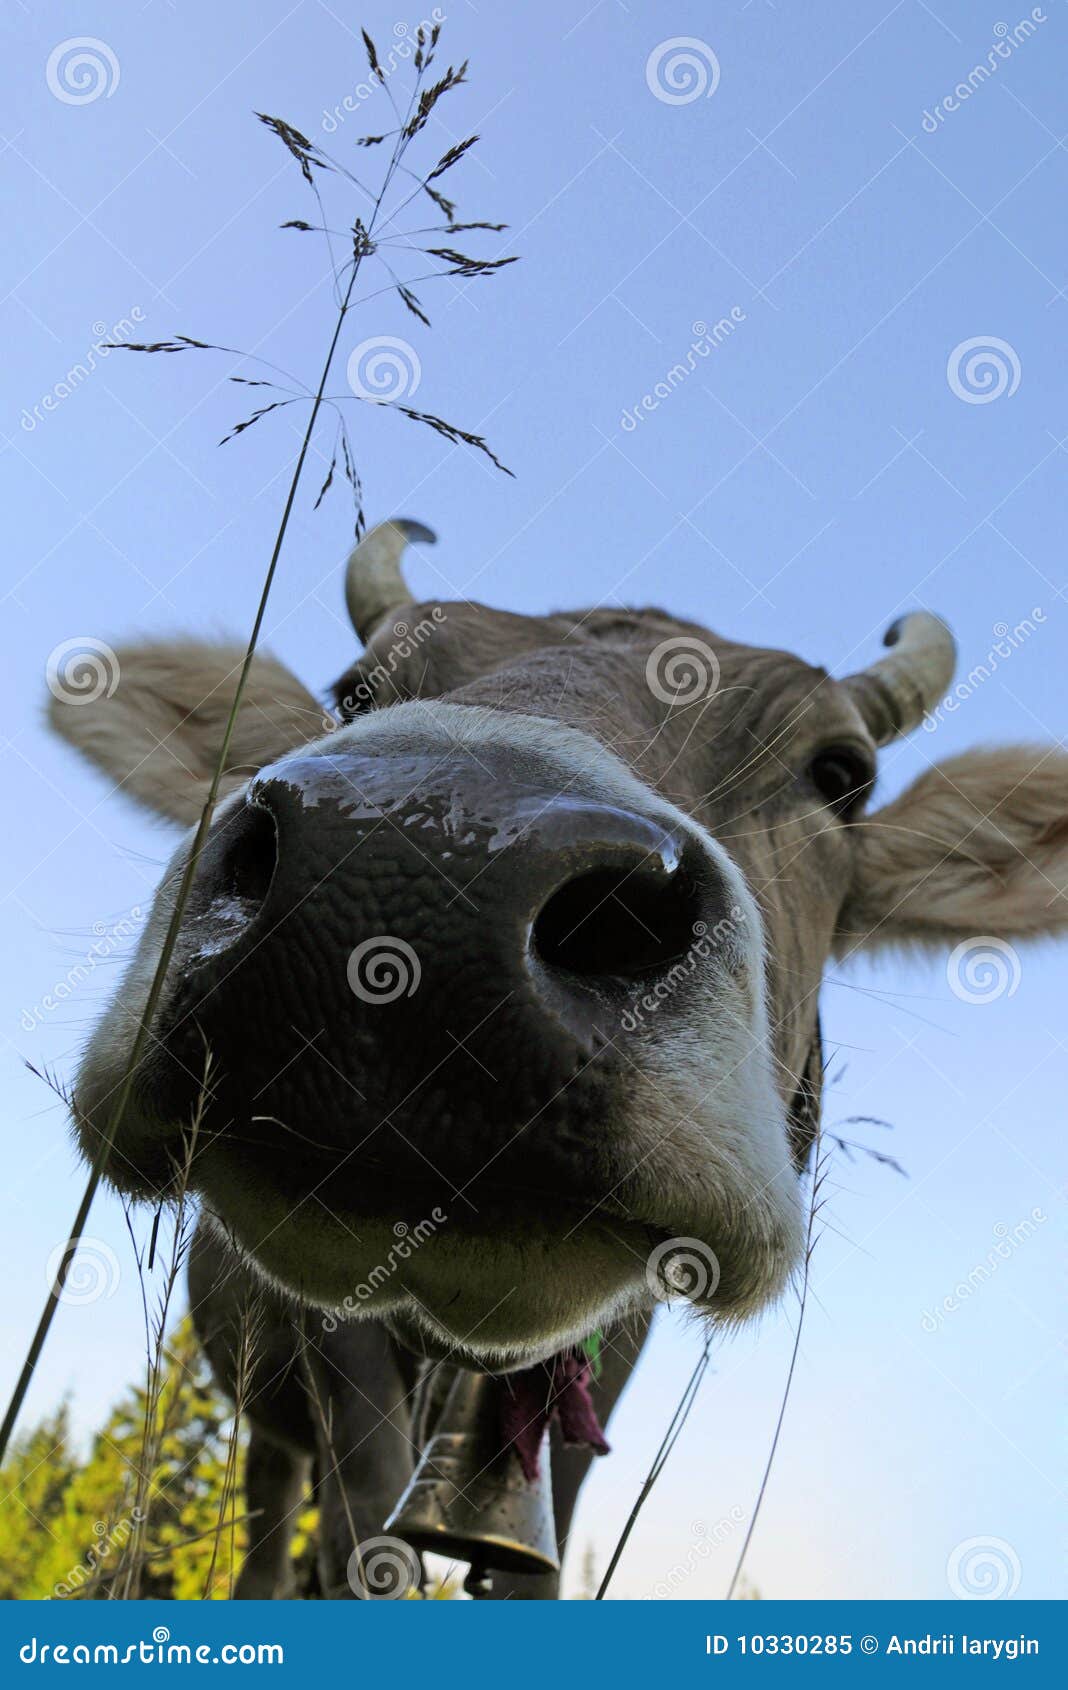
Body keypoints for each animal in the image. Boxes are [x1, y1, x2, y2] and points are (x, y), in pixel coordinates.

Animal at [49, 518, 1068, 1596]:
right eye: (356, 690)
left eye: (842, 774)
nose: (416, 859)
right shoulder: (328, 1338)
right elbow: (369, 1524)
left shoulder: (611, 1354)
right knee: (272, 1525)